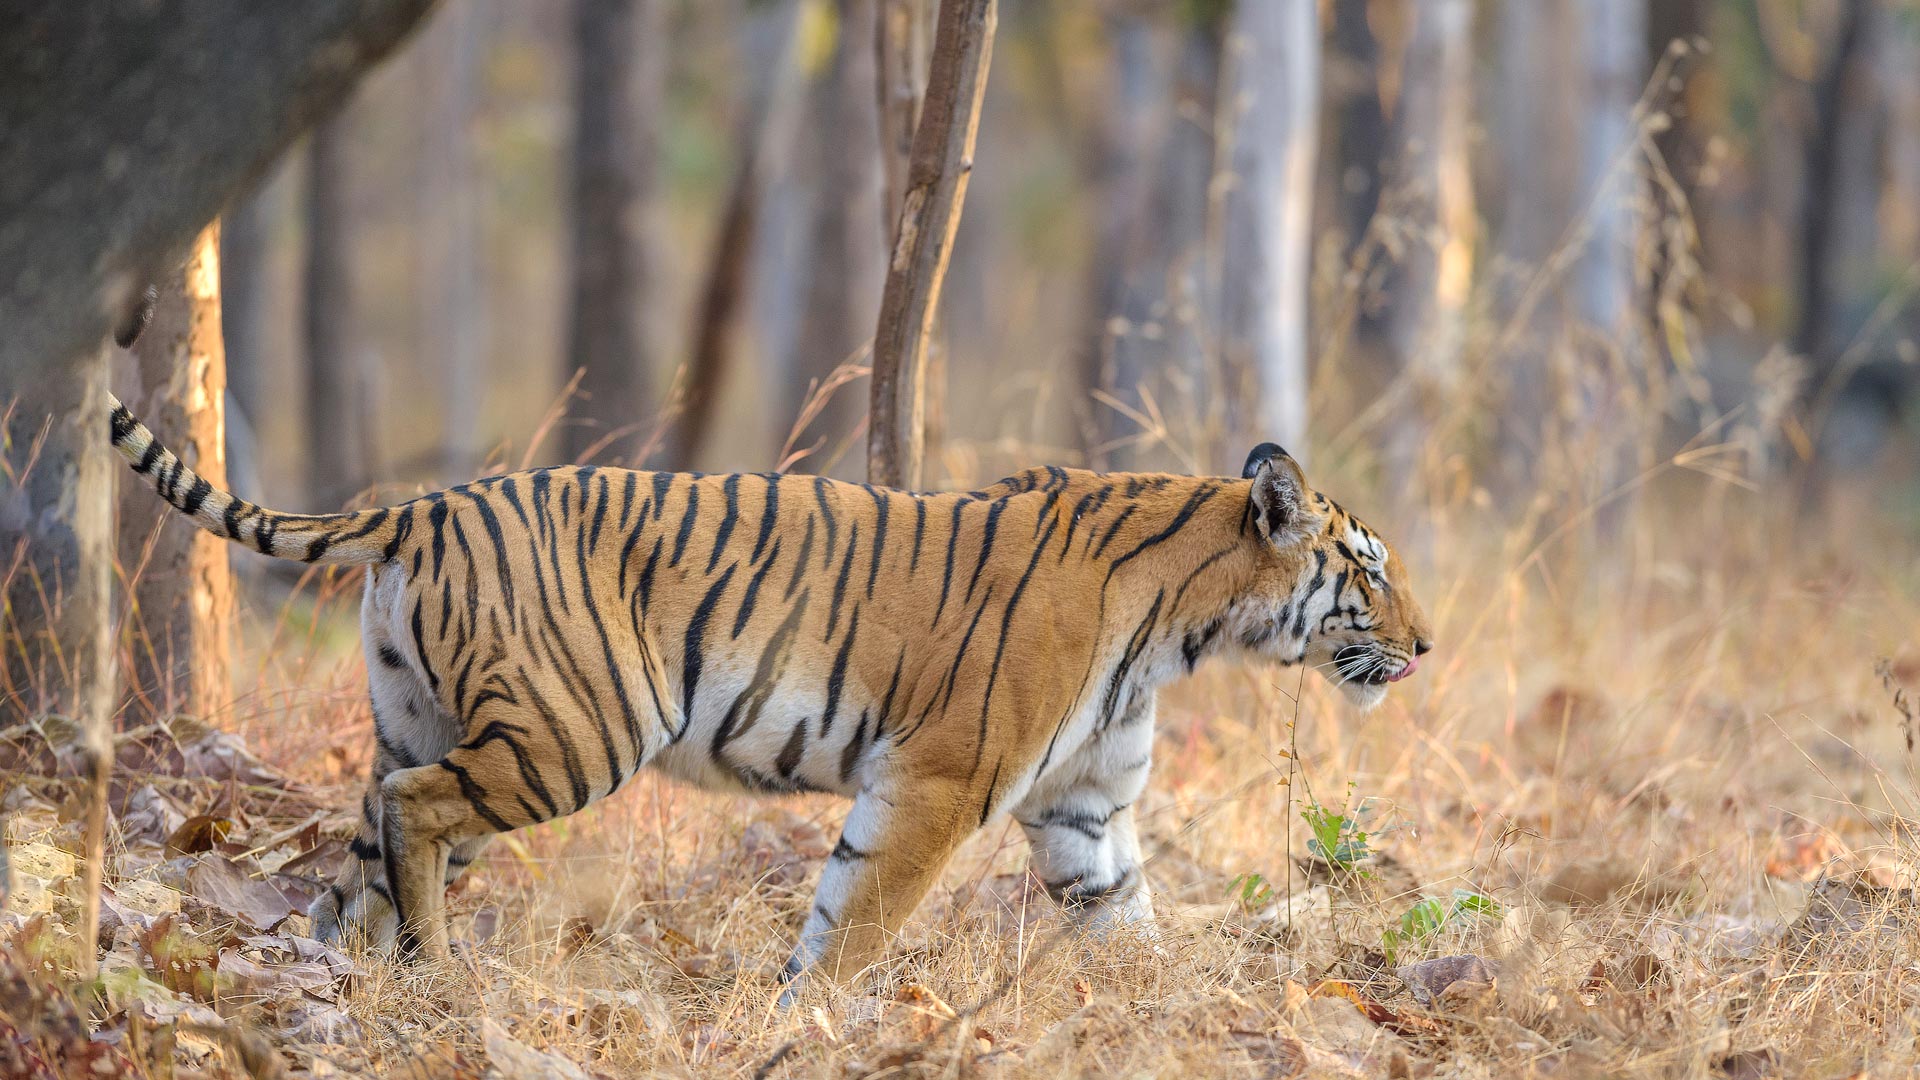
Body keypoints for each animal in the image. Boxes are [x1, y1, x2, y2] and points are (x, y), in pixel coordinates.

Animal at [109, 395, 1434, 995]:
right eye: (1367, 570)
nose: (1427, 646)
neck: (1185, 628)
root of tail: (422, 506)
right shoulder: (941, 778)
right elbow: (859, 912)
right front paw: (812, 1018)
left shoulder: (1085, 808)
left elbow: (1127, 921)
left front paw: (1164, 1008)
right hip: (577, 732)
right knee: (418, 816)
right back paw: (441, 975)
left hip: (420, 723)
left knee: (358, 863)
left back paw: (344, 984)